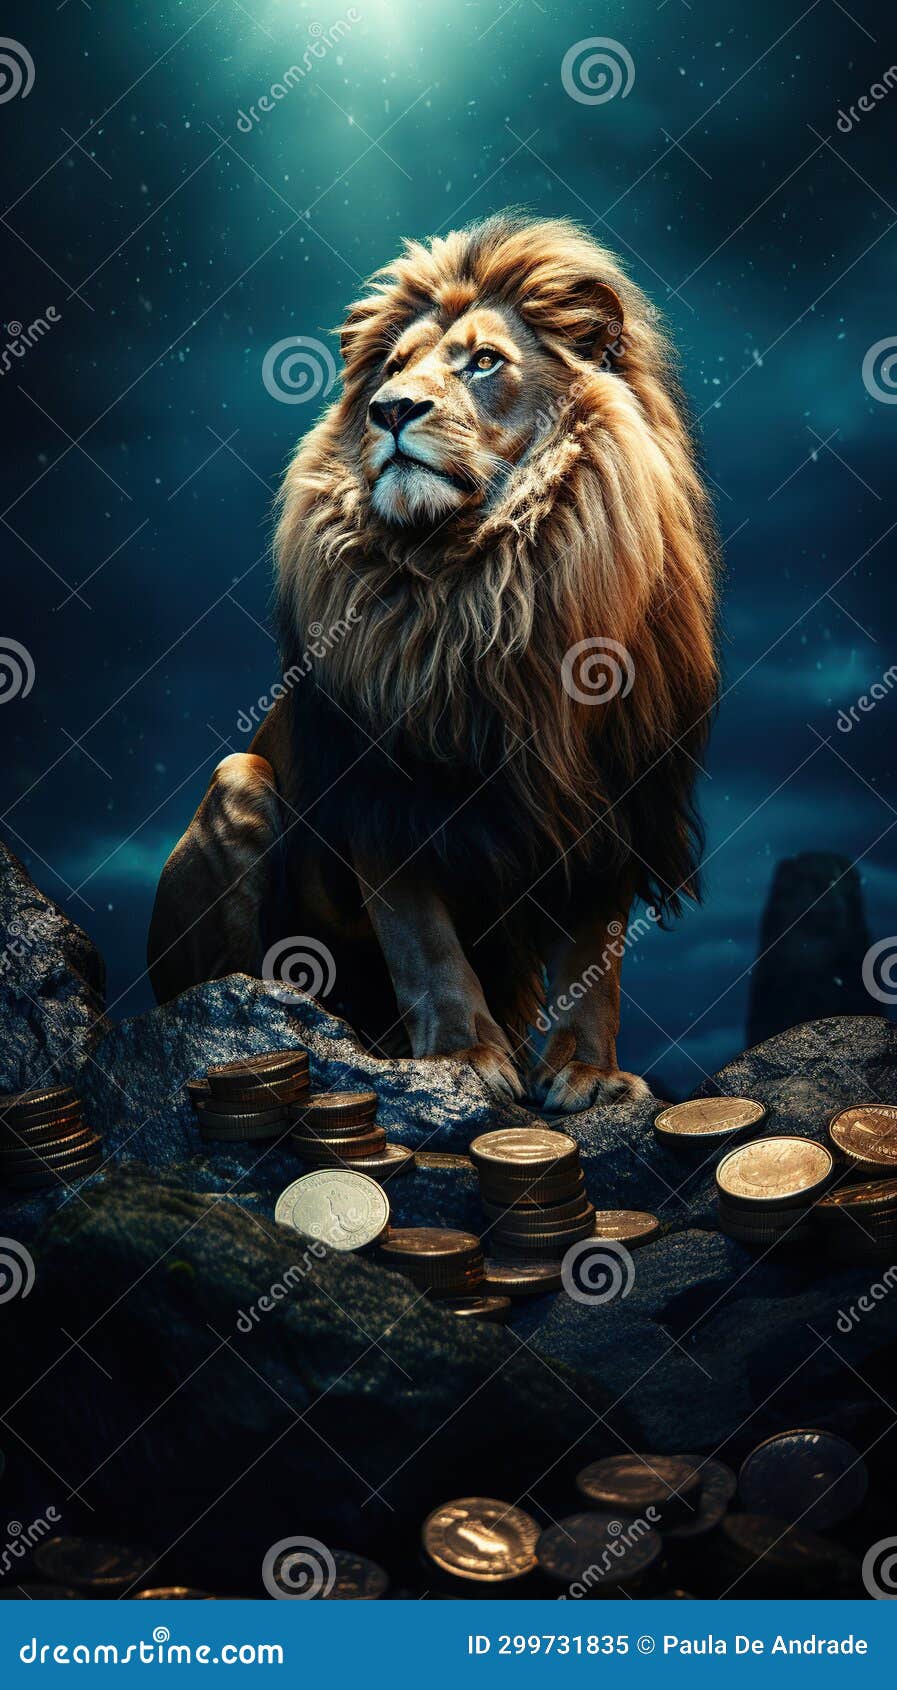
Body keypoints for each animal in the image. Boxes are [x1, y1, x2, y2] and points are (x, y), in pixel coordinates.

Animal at [148, 212, 718, 1112]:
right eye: (390, 369)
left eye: (482, 361)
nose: (390, 410)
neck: (489, 583)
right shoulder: (390, 787)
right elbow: (424, 944)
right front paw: (461, 1058)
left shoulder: (618, 790)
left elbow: (594, 958)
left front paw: (588, 1072)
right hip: (240, 781)